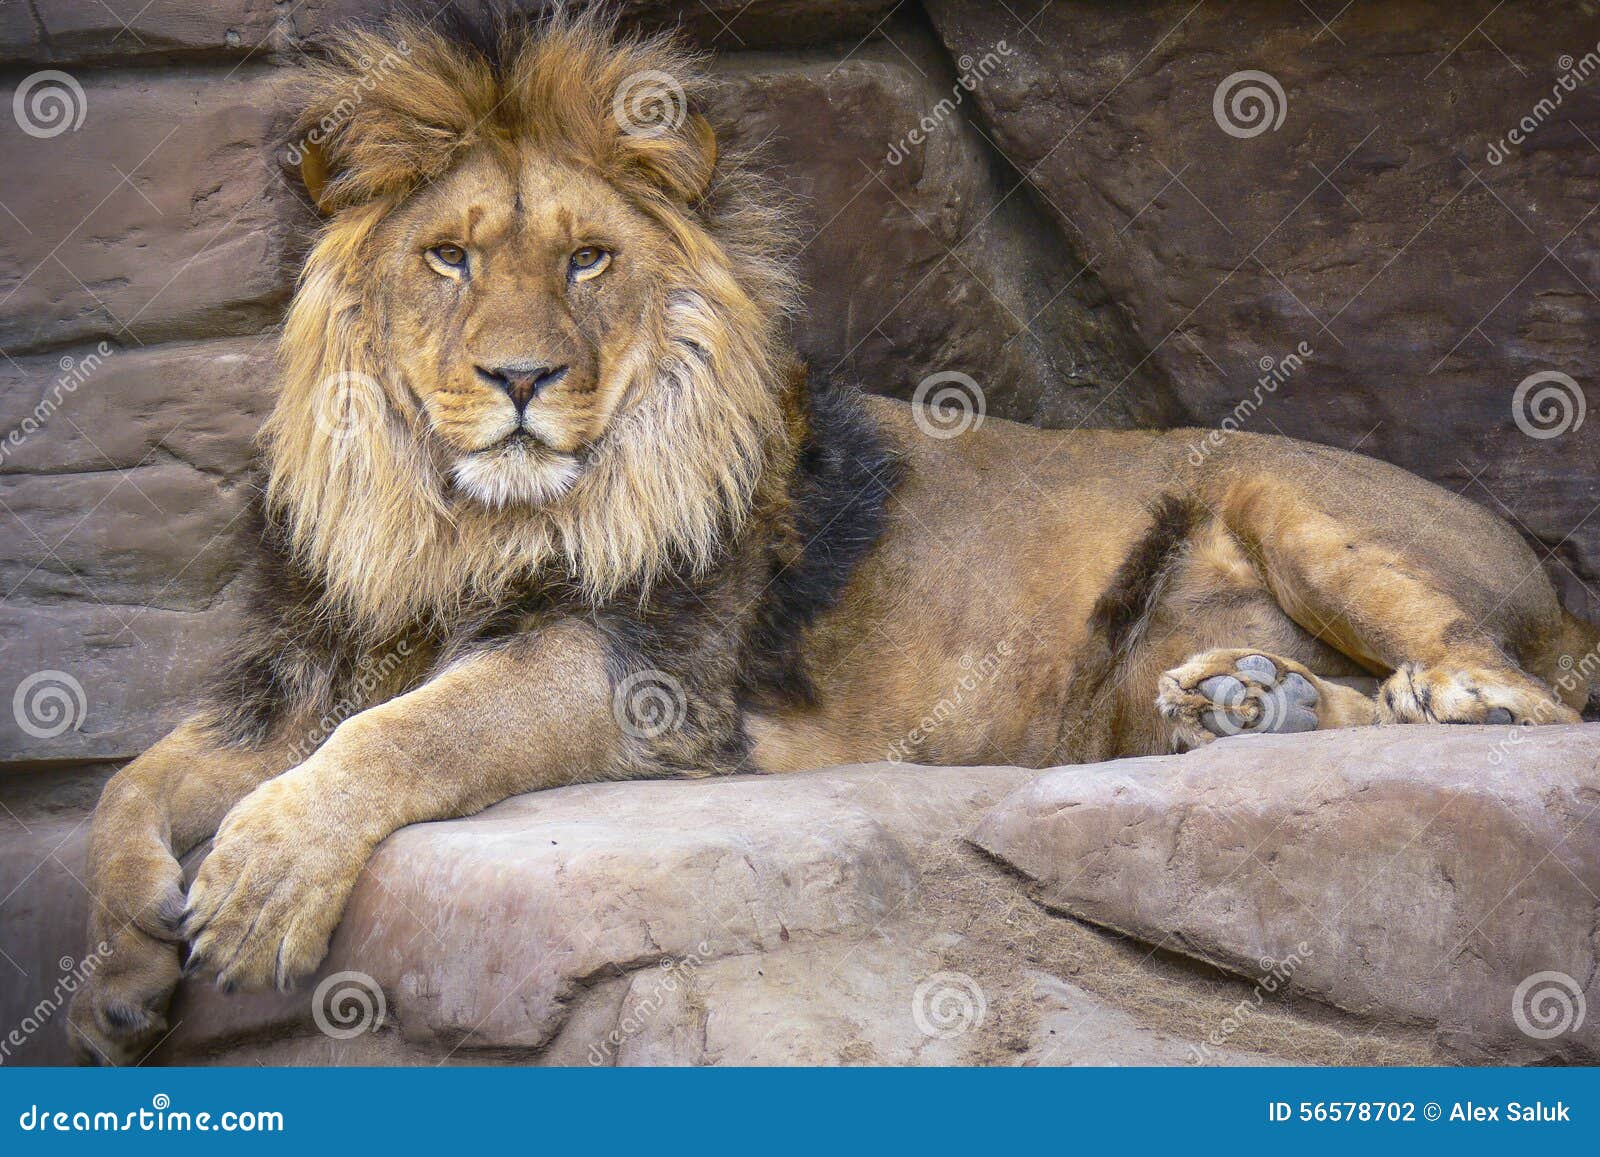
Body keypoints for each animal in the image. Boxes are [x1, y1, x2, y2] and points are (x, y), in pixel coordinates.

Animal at [68, 11, 1597, 1064]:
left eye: (586, 259)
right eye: (448, 258)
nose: (520, 378)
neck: (450, 523)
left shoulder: (637, 678)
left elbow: (413, 733)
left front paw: (261, 879)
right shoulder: (314, 669)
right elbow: (135, 778)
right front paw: (116, 975)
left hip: (1290, 496)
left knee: (1521, 700)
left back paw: (1433, 694)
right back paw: (1247, 703)